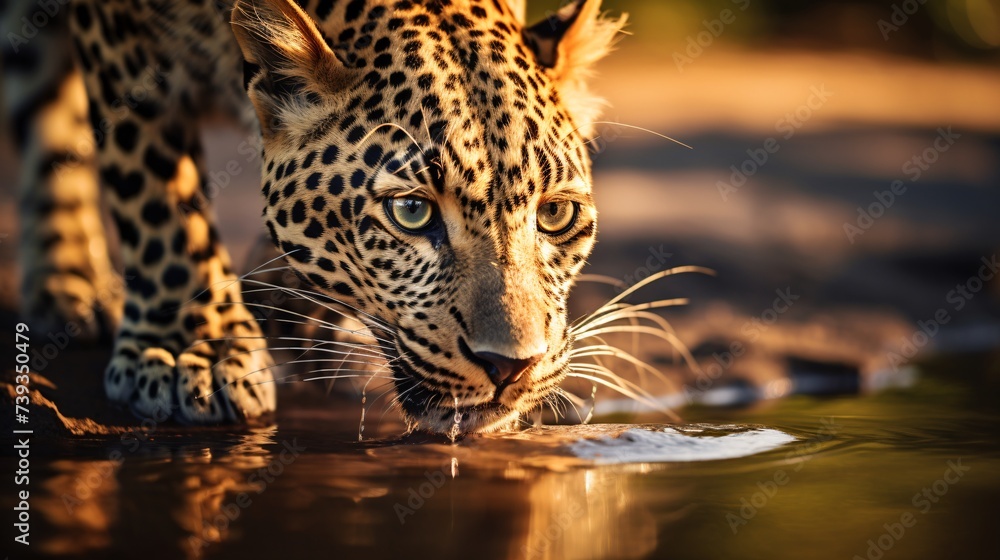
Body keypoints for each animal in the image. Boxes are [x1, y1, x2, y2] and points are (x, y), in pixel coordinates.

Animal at [1, 0, 627, 434]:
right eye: (411, 211)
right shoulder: (120, 36)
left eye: (555, 214)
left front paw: (284, 309)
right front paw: (190, 350)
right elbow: (155, 190)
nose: (511, 367)